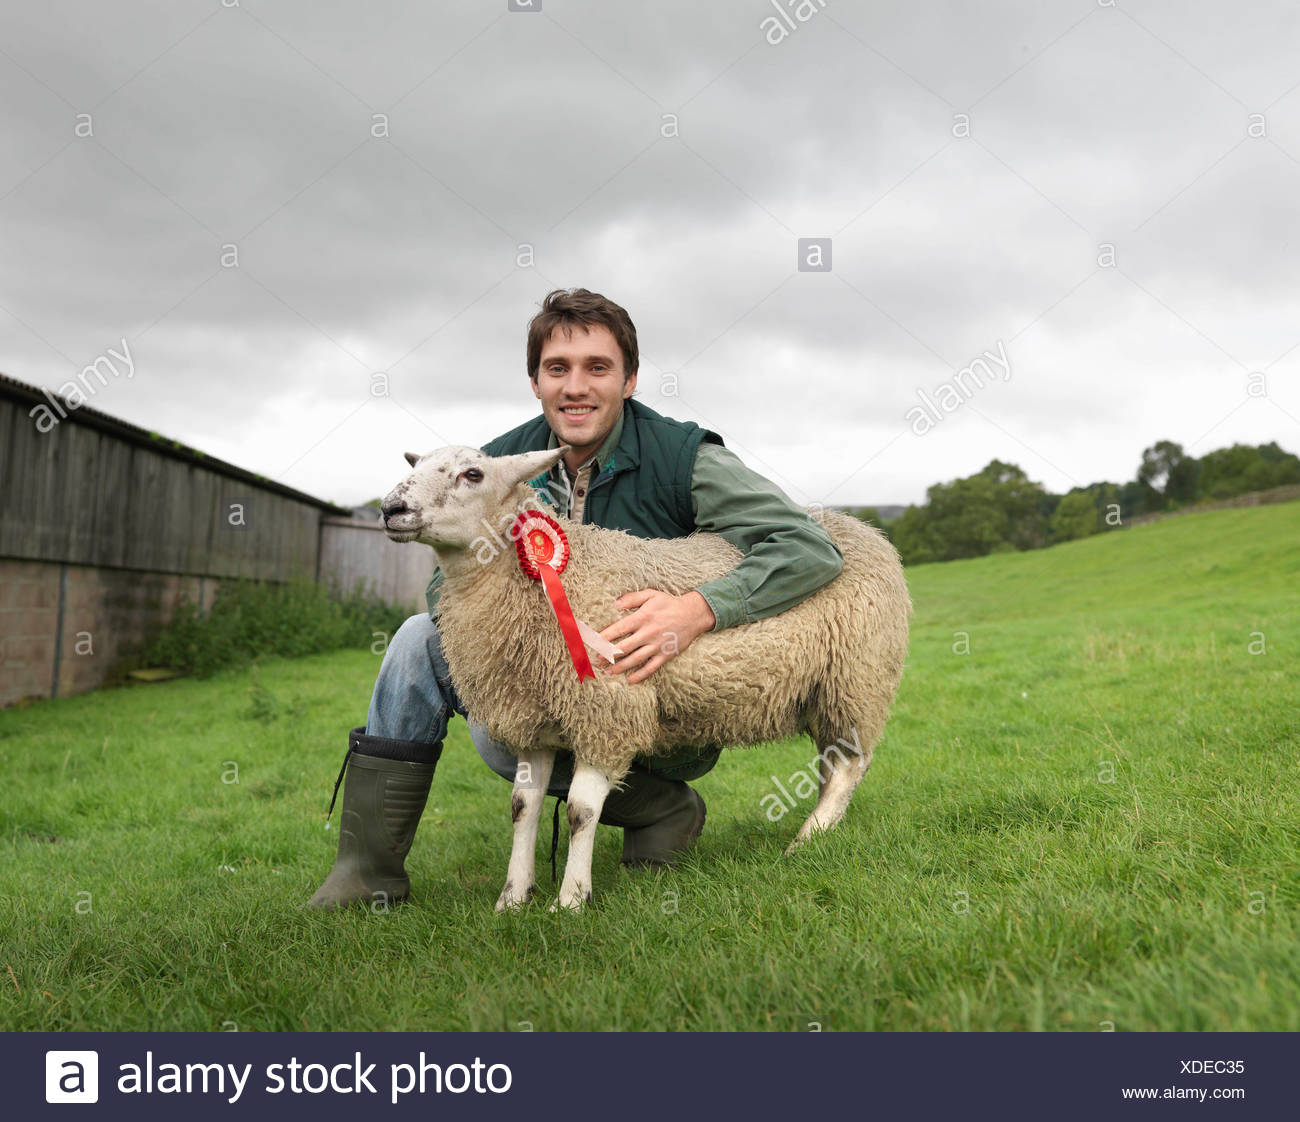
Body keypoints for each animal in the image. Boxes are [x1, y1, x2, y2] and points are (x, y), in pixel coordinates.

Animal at [381, 443, 911, 911]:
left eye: (472, 474)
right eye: (417, 467)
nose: (390, 508)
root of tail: (867, 530)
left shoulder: (606, 709)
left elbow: (580, 811)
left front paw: (570, 900)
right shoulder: (533, 717)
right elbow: (522, 806)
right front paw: (512, 899)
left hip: (857, 675)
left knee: (849, 764)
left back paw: (807, 841)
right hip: (827, 689)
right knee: (832, 762)